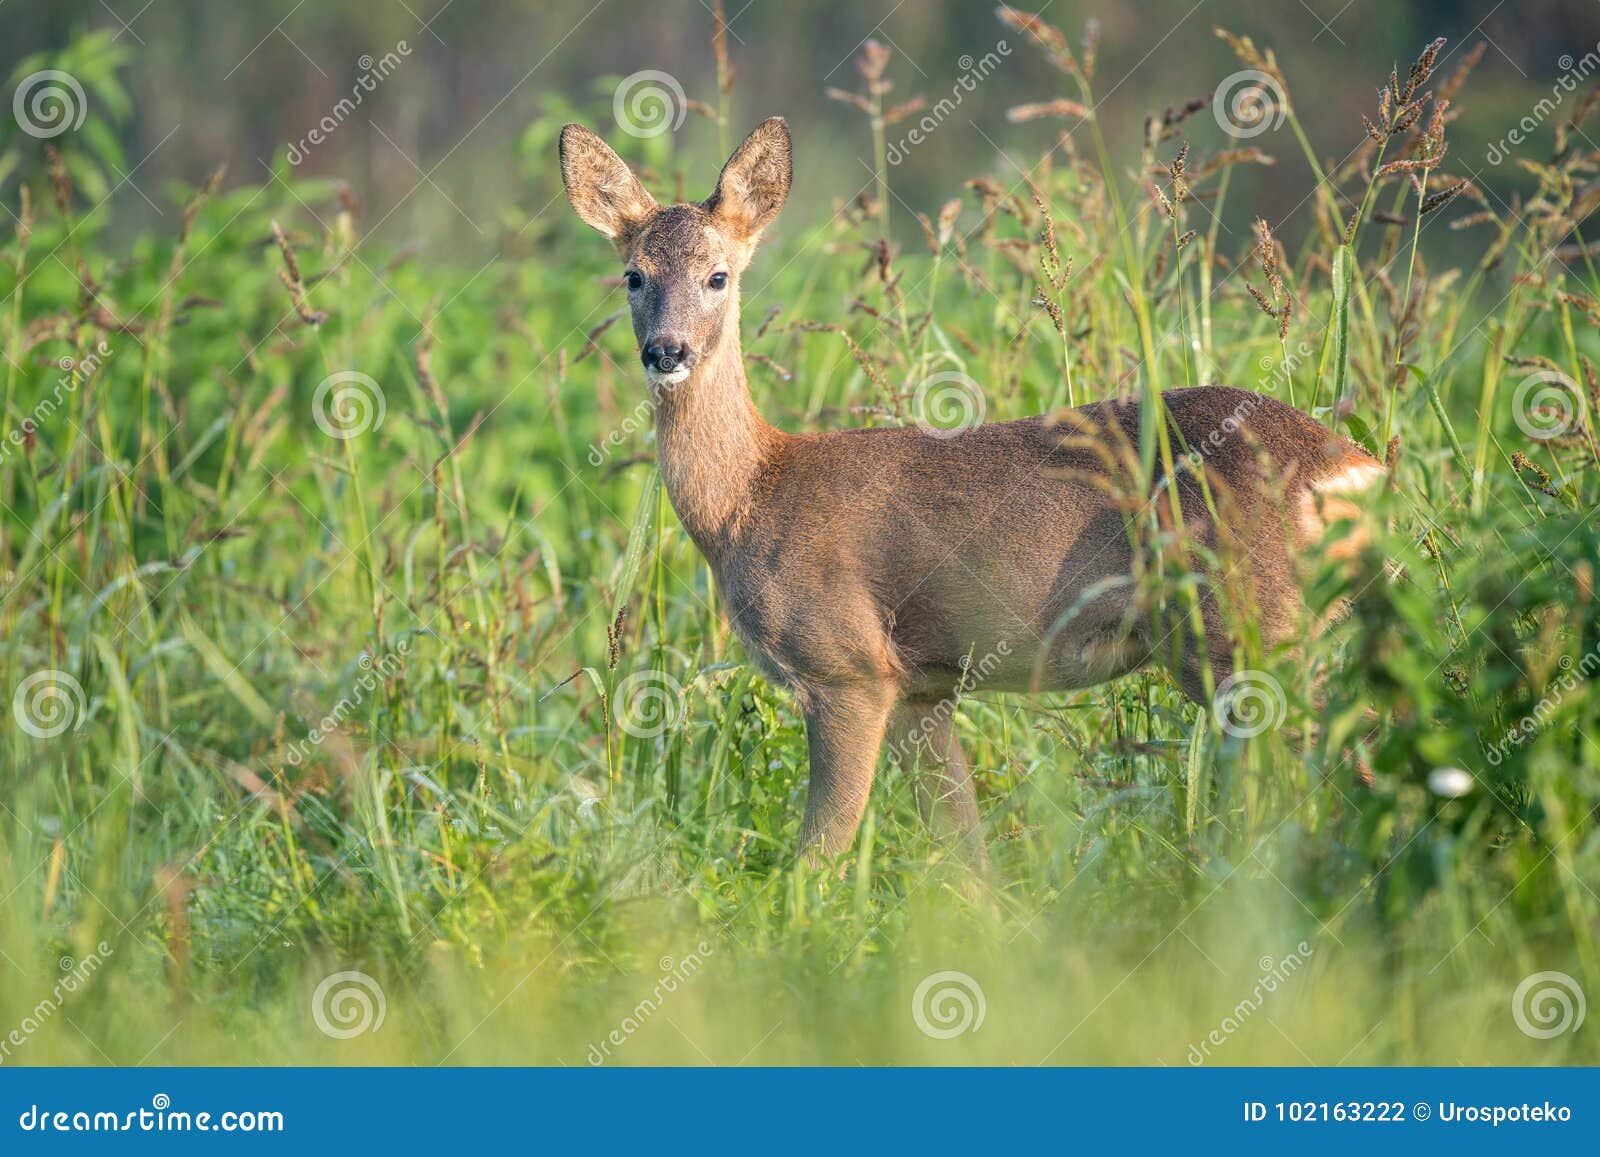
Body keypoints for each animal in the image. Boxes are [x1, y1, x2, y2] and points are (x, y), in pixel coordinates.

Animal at [559, 116, 1384, 871]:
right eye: (633, 275)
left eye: (719, 275)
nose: (666, 350)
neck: (750, 498)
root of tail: (1351, 467)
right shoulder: (920, 689)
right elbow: (967, 855)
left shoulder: (846, 665)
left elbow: (817, 856)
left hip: (1247, 623)